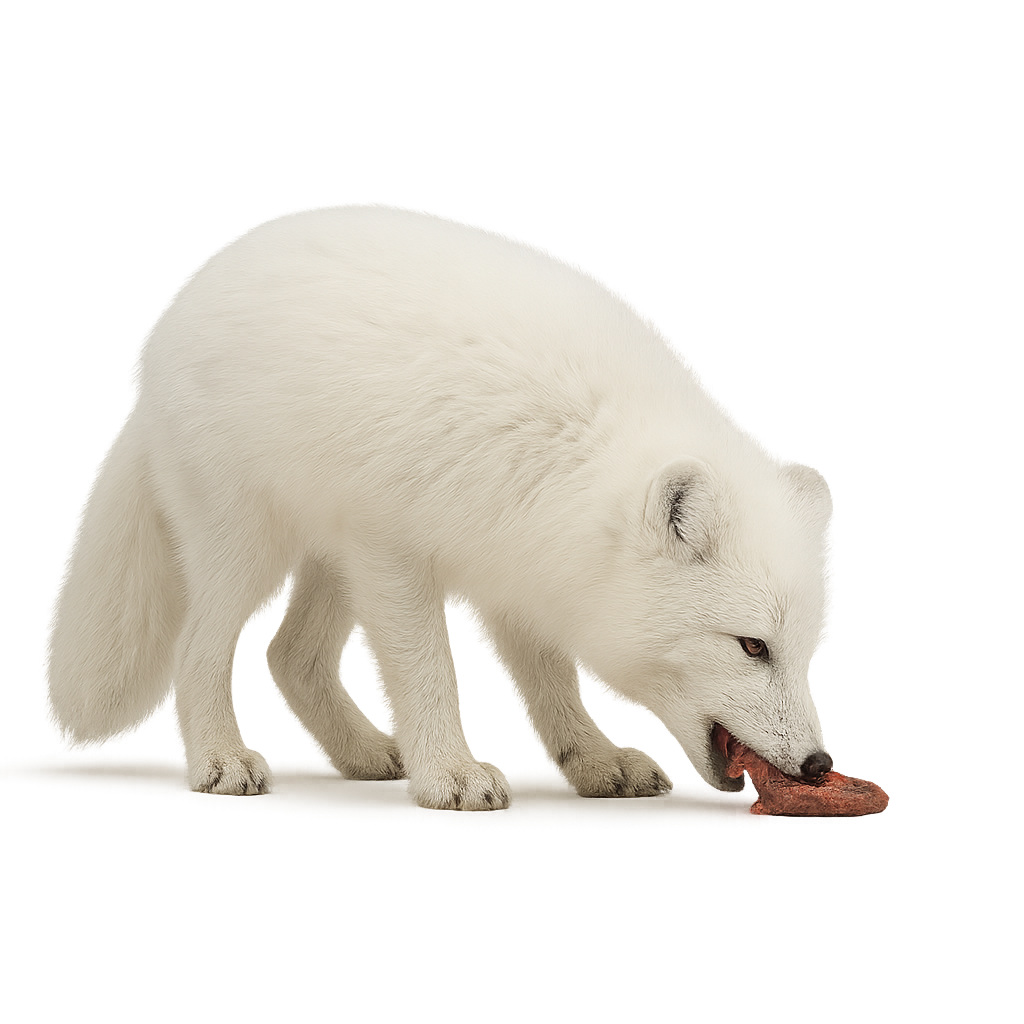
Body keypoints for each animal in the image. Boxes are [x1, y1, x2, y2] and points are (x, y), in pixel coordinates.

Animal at [49, 203, 834, 810]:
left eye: (799, 651)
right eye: (752, 646)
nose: (821, 765)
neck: (575, 443)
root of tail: (183, 295)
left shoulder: (520, 560)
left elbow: (549, 681)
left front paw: (593, 759)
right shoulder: (394, 551)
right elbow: (428, 674)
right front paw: (448, 774)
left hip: (333, 560)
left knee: (290, 655)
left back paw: (362, 753)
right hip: (252, 547)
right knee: (198, 650)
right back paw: (220, 759)